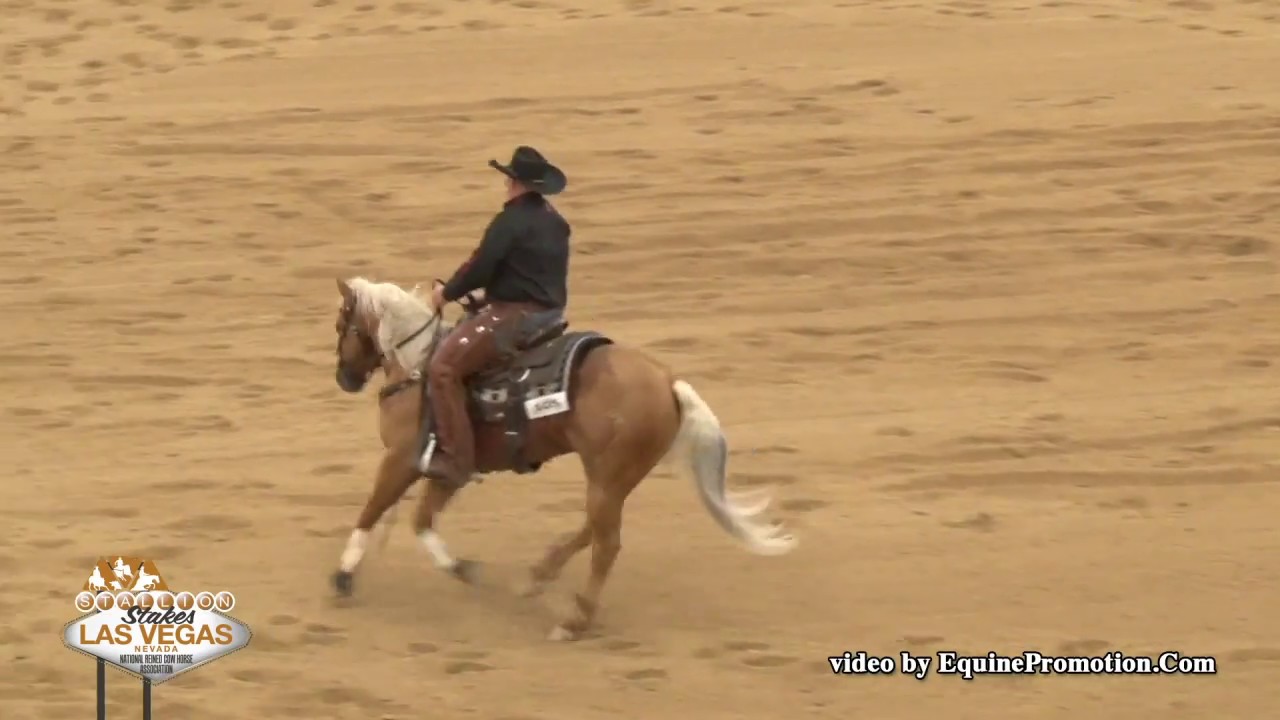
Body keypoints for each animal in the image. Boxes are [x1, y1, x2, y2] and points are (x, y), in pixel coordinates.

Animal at [329, 276, 795, 640]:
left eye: (341, 324)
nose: (344, 378)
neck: (418, 367)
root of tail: (667, 382)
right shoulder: (448, 469)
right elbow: (421, 519)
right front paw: (461, 568)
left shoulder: (401, 459)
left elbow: (373, 511)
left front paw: (344, 575)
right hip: (615, 477)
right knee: (593, 528)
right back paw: (536, 578)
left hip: (607, 475)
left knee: (607, 543)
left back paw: (574, 621)